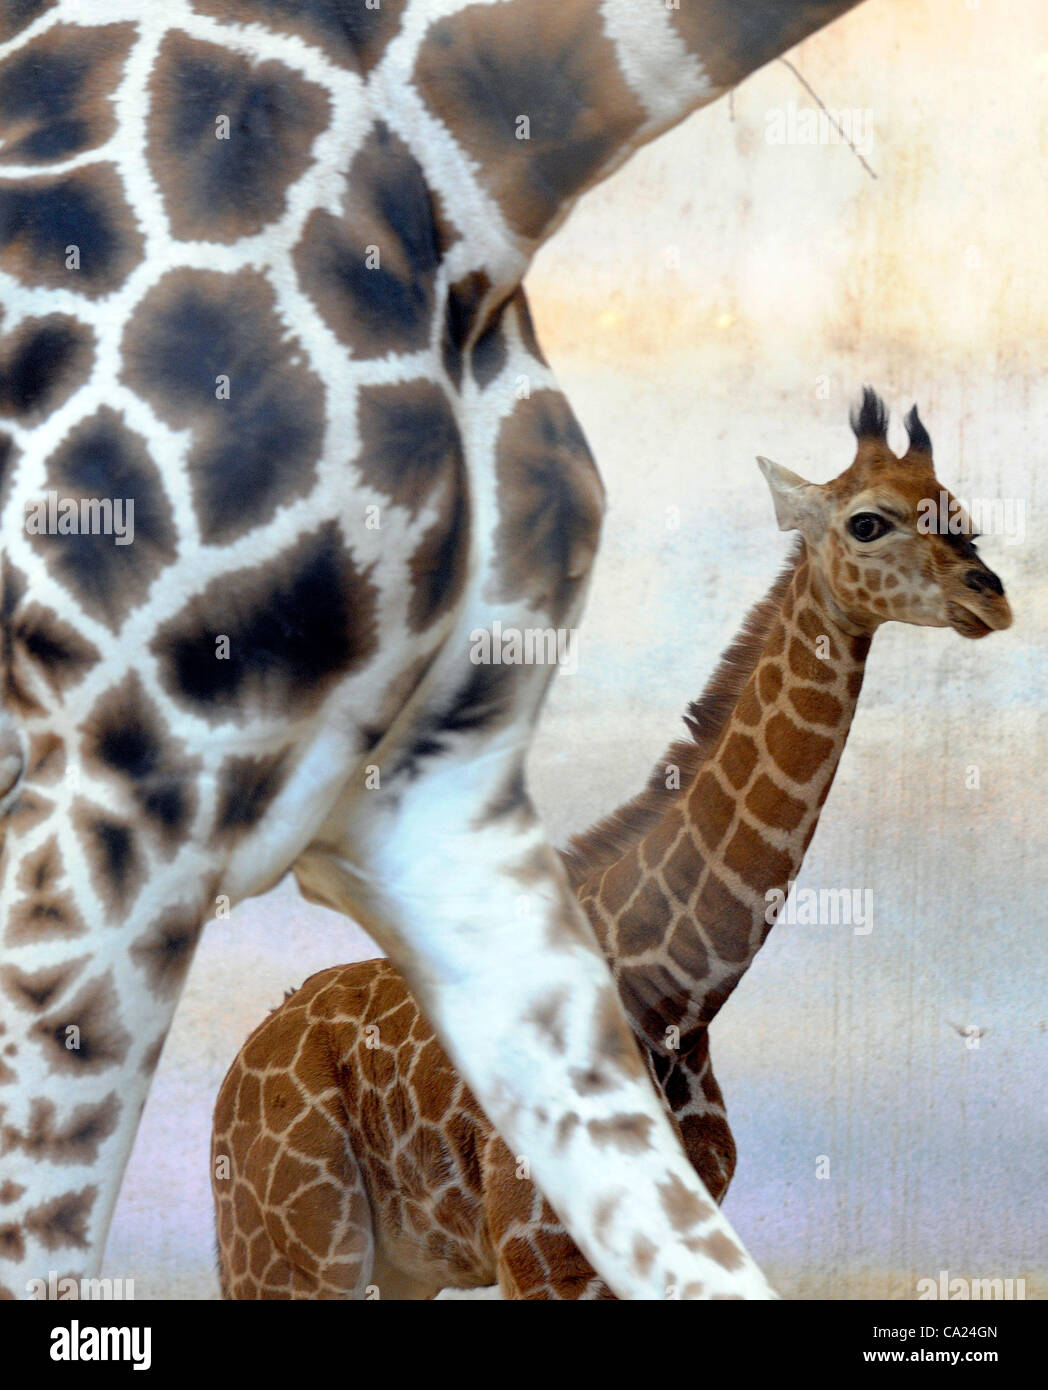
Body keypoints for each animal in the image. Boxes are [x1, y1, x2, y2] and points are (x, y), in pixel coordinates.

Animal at [211, 391, 1012, 1299]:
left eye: (961, 514)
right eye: (868, 522)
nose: (992, 597)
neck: (679, 999)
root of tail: (242, 1059)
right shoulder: (536, 1245)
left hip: (399, 1262)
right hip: (296, 1250)